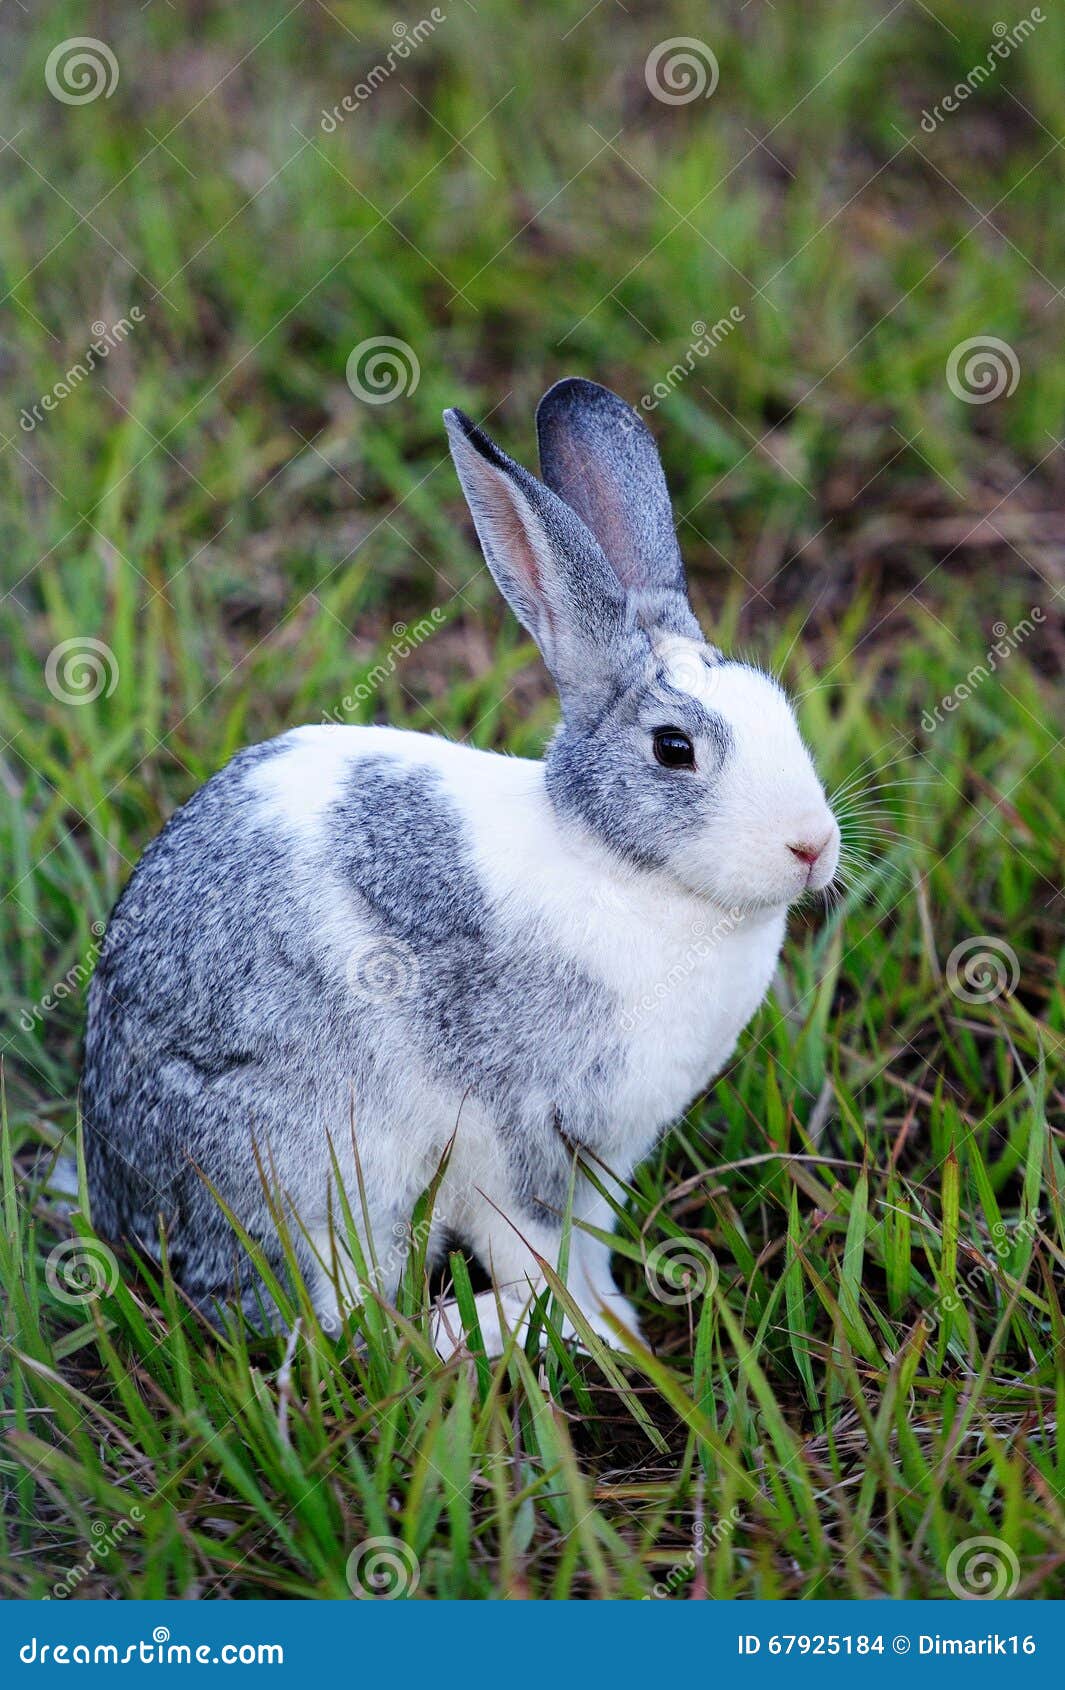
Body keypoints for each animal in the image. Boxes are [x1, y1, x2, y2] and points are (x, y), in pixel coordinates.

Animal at [81, 377, 840, 1356]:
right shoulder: (517, 1131)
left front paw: (611, 1322)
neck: (616, 864)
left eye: (781, 707)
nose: (812, 847)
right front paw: (575, 1332)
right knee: (340, 1320)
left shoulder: (605, 1154)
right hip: (317, 1176)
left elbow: (586, 1243)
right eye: (673, 749)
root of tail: (126, 1208)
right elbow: (532, 1241)